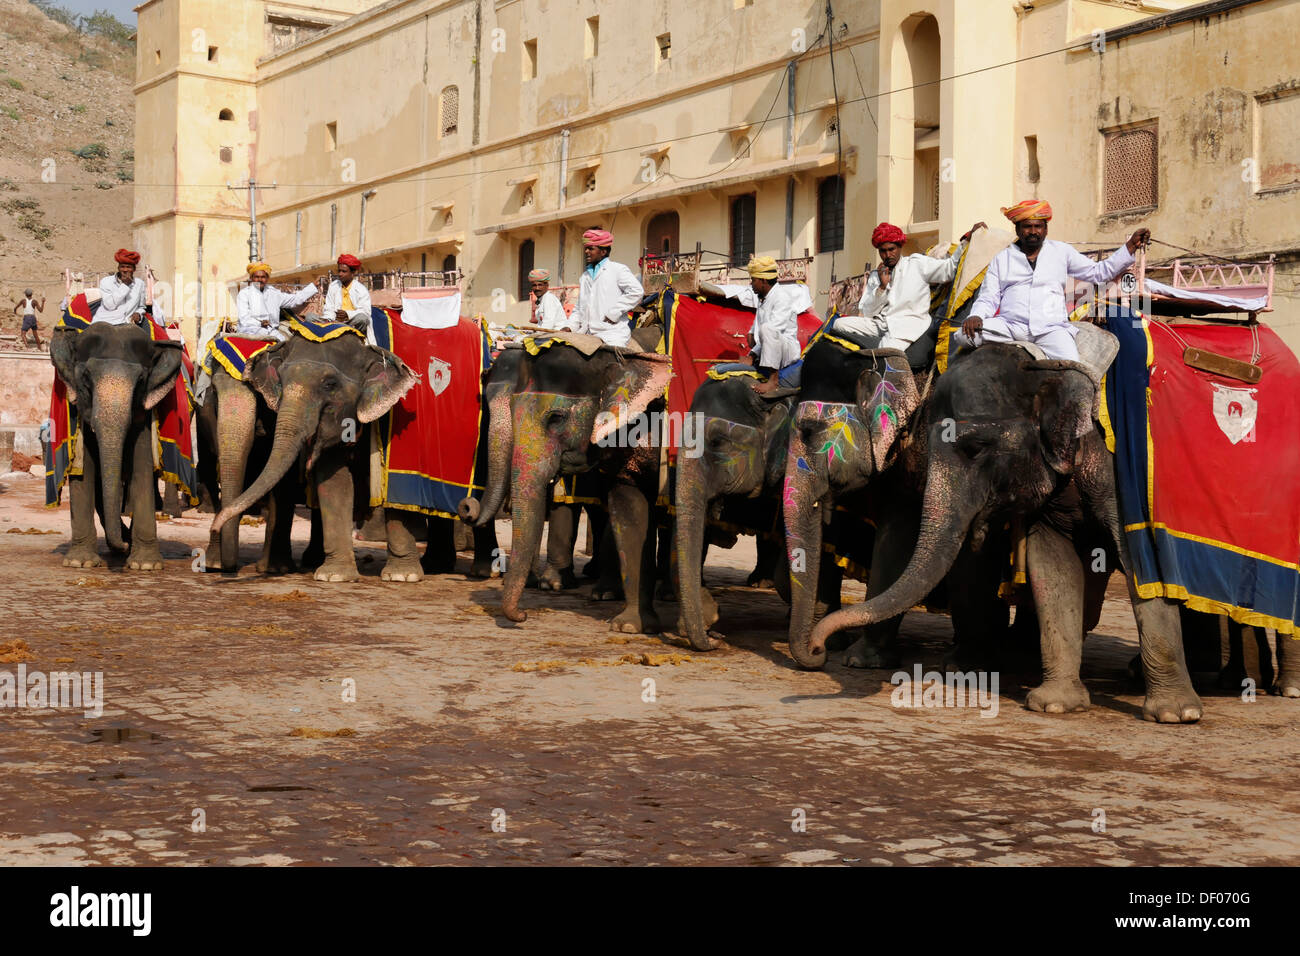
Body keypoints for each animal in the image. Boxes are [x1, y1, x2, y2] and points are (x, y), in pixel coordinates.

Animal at [50, 321, 184, 570]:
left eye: (140, 382)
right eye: (86, 379)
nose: (122, 545)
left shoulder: (142, 412)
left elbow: (141, 466)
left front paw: (145, 566)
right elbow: (84, 471)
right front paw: (79, 563)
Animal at [806, 341, 1247, 723]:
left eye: (975, 448)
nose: (816, 648)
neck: (1042, 368)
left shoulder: (1125, 471)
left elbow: (1140, 560)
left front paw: (1176, 715)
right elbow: (1052, 564)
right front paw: (1056, 706)